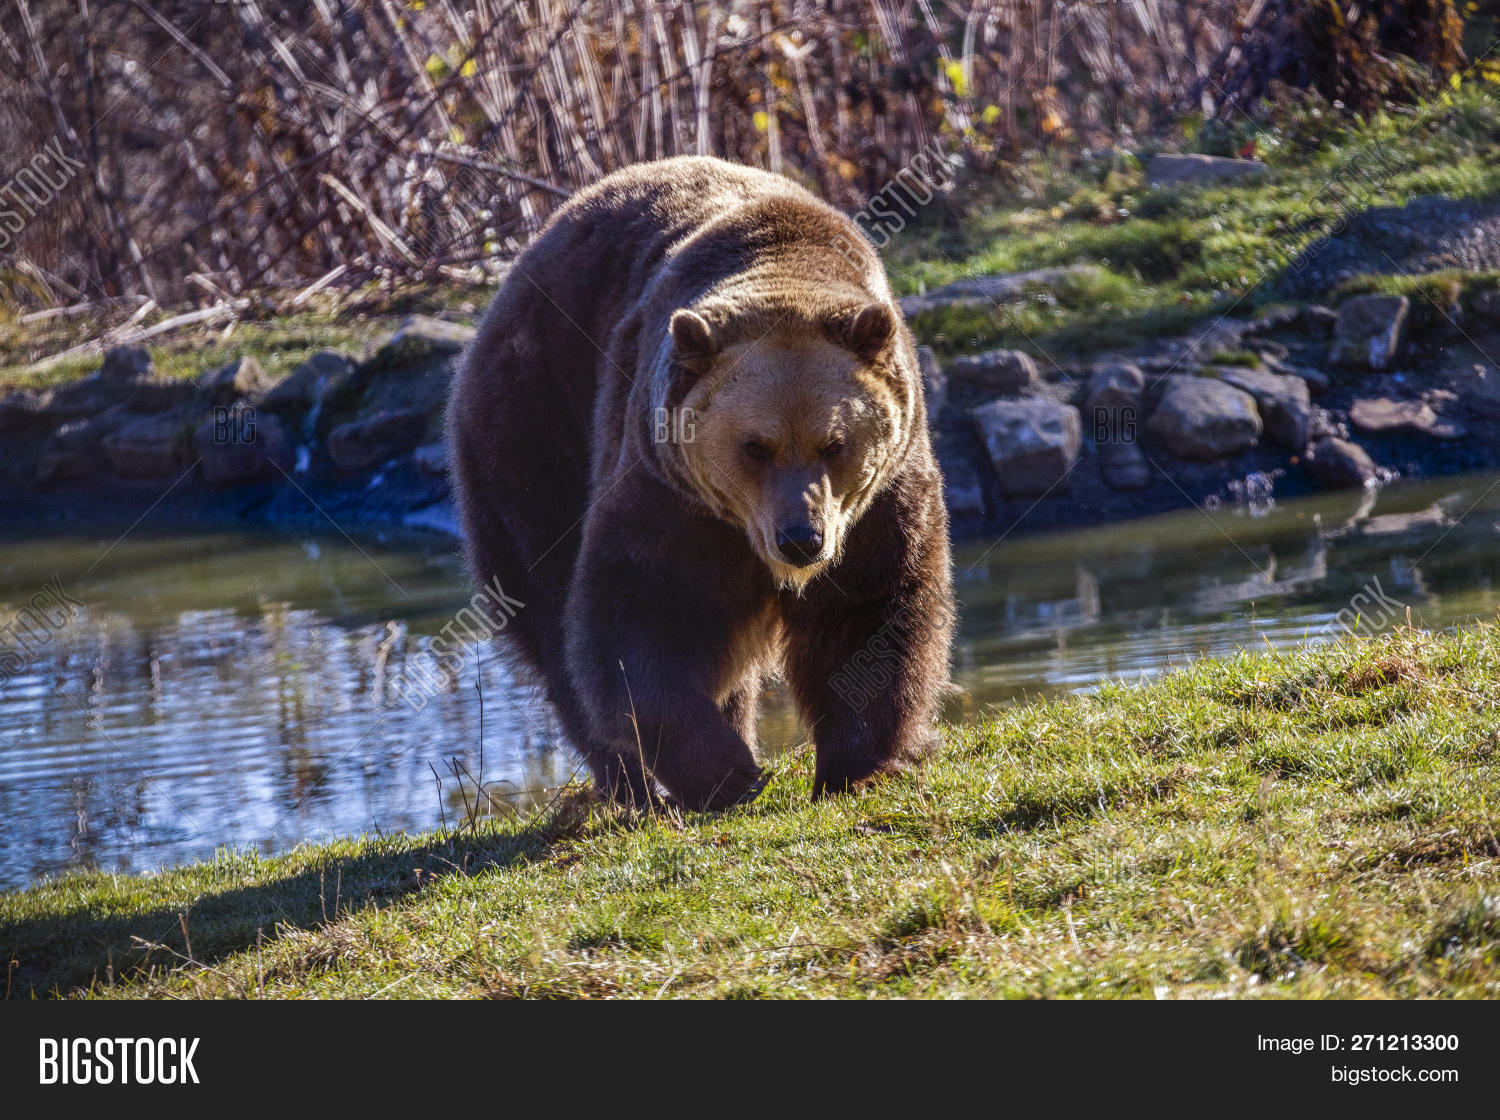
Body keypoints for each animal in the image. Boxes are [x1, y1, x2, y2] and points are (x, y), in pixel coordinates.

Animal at [446, 155, 953, 810]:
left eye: (834, 444)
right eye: (755, 446)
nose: (801, 539)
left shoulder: (878, 502)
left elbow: (872, 613)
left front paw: (857, 763)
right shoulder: (671, 490)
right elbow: (640, 615)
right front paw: (726, 773)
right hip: (532, 426)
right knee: (548, 609)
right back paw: (630, 786)